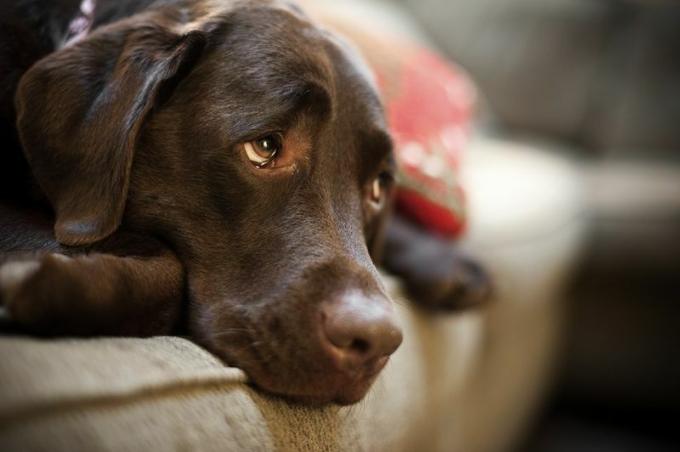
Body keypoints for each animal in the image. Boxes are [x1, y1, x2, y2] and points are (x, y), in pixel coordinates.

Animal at [0, 0, 488, 402]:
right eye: (265, 147)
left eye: (377, 187)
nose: (374, 341)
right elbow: (168, 274)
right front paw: (36, 282)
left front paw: (441, 258)